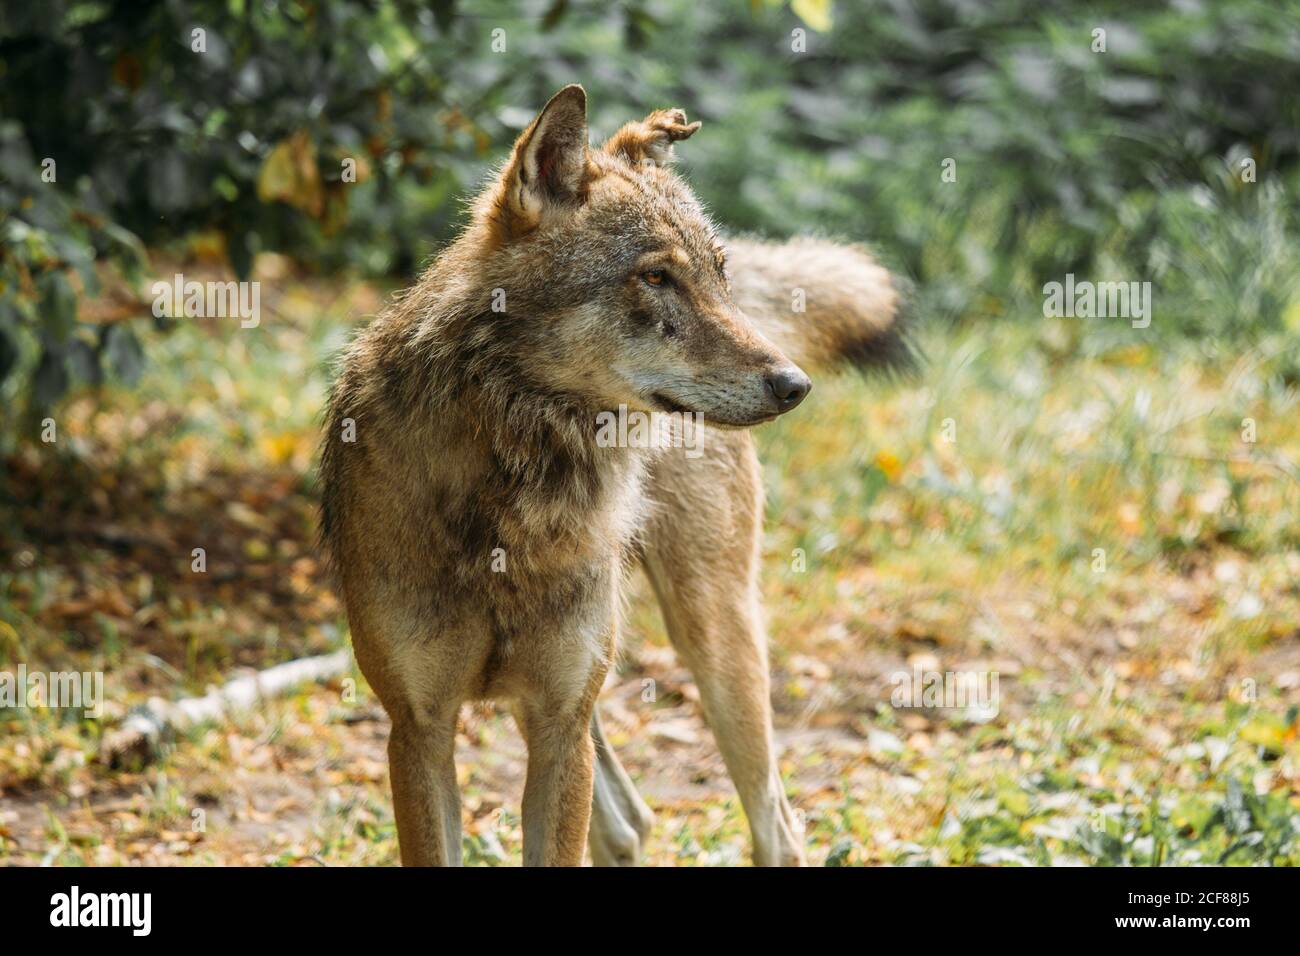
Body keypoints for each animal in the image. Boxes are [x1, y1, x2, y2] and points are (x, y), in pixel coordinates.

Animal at [319, 85, 907, 866]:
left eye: (716, 272)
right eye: (656, 276)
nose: (793, 385)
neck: (519, 479)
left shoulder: (562, 721)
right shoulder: (420, 730)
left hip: (712, 638)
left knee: (774, 826)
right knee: (632, 821)